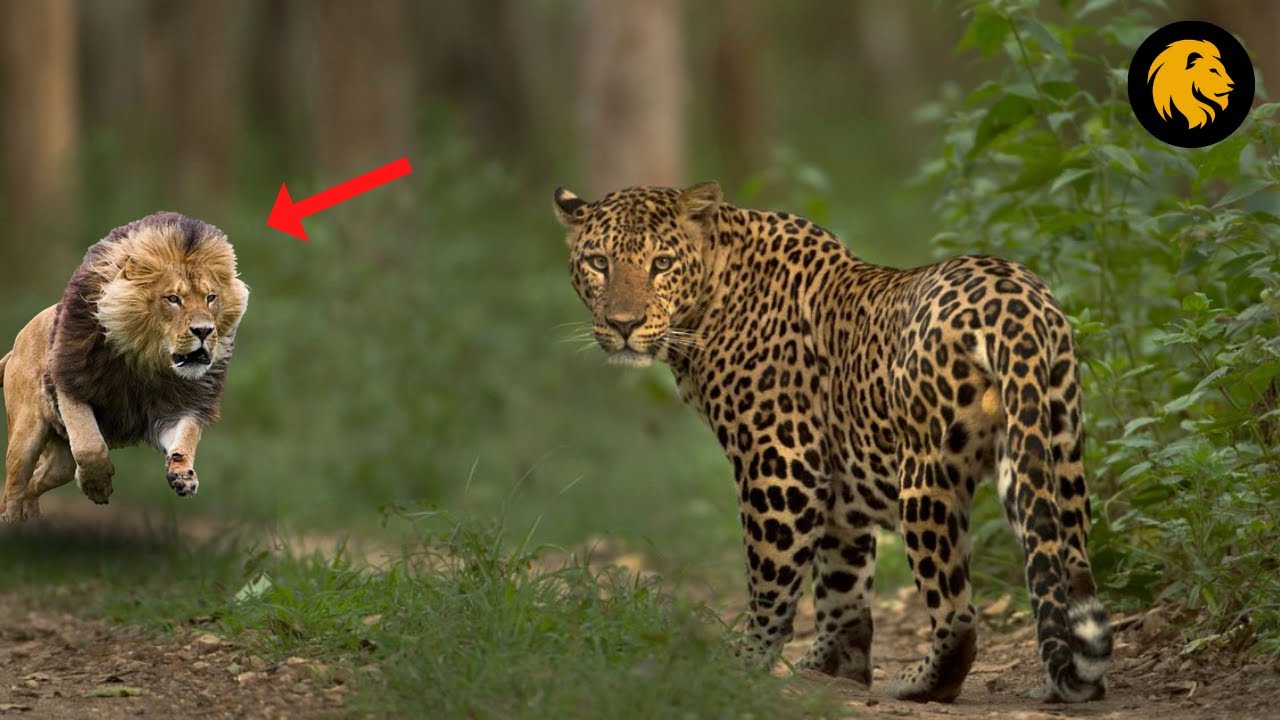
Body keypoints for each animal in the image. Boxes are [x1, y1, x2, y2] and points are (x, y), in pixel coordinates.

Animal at [0, 212, 249, 522]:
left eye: (211, 297)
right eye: (173, 299)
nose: (204, 330)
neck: (148, 362)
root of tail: (16, 344)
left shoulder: (176, 409)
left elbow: (186, 437)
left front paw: (183, 475)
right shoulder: (70, 386)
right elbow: (90, 445)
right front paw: (96, 485)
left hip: (59, 465)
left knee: (35, 483)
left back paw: (32, 516)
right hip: (25, 434)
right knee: (13, 487)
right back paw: (14, 519)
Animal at [553, 182, 1112, 703]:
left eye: (661, 264)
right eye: (599, 263)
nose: (623, 324)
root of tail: (1017, 307)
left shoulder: (781, 462)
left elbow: (771, 574)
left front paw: (746, 661)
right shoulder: (841, 480)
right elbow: (842, 581)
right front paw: (834, 668)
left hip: (927, 474)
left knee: (956, 612)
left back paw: (923, 682)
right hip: (1052, 450)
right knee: (1065, 563)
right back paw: (1070, 680)